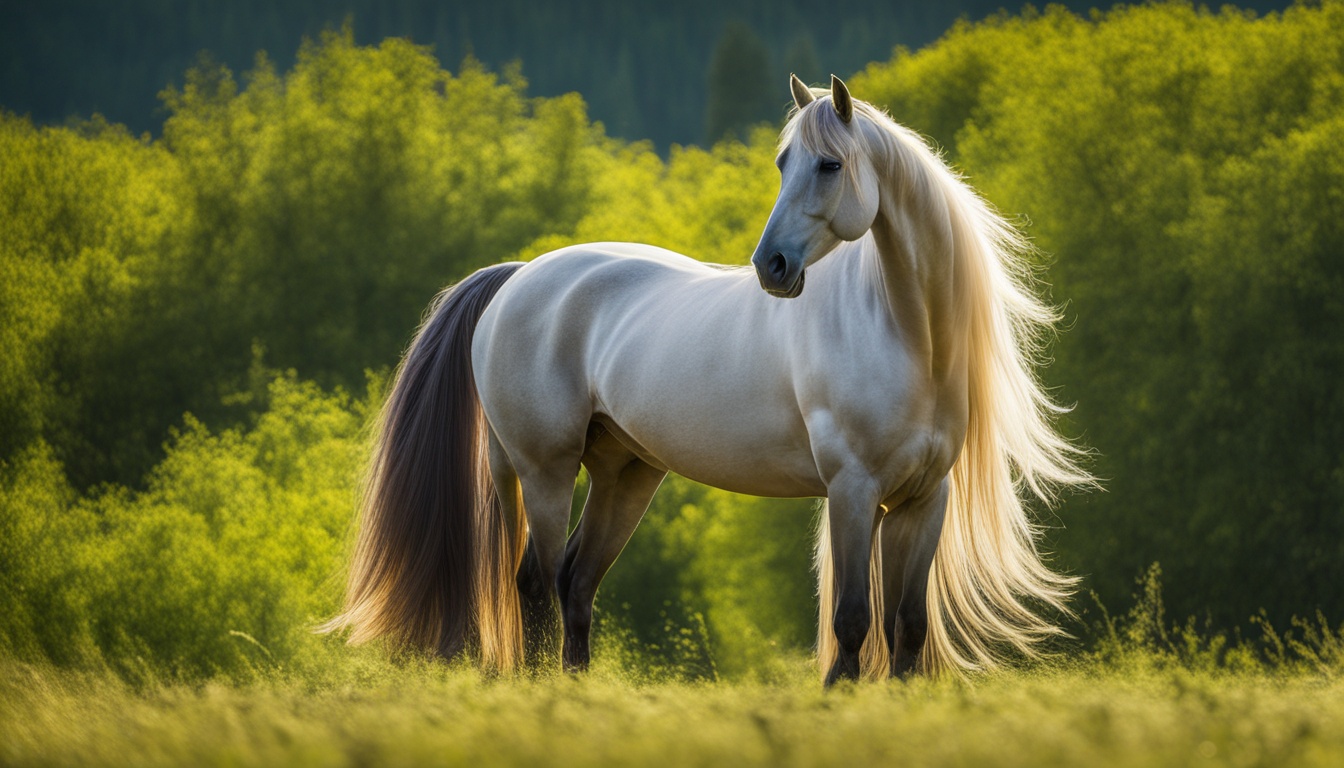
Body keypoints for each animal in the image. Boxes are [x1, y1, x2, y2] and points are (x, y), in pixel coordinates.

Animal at [322, 74, 1091, 684]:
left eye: (829, 164)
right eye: (783, 162)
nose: (771, 267)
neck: (906, 336)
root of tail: (519, 277)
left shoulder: (921, 501)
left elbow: (906, 626)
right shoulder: (853, 491)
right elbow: (850, 620)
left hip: (626, 475)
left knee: (576, 583)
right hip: (544, 471)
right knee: (535, 586)